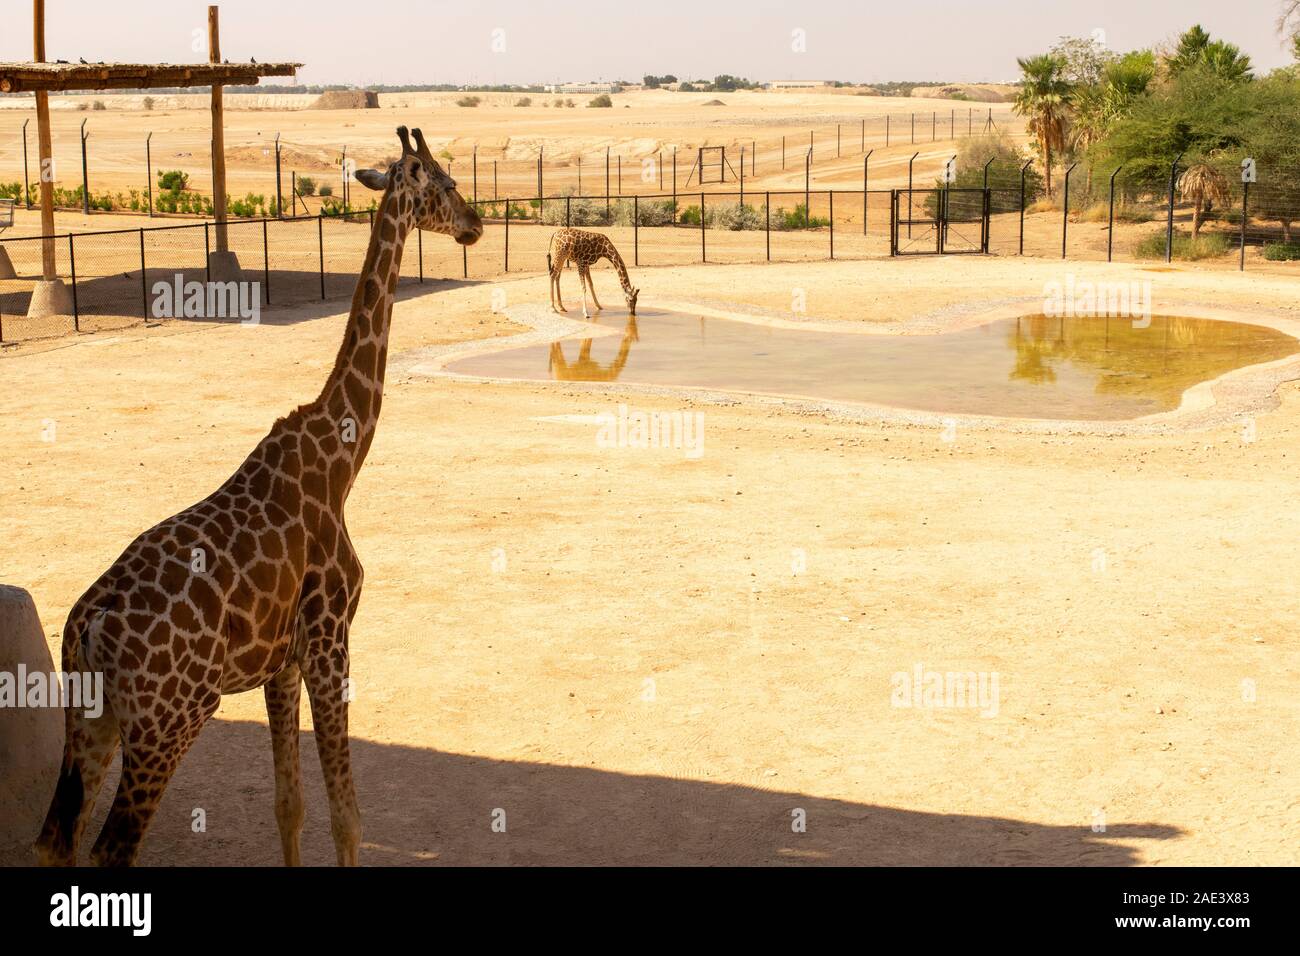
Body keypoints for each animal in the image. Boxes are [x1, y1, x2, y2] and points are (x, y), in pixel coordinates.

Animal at [33, 126, 481, 867]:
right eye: (444, 182)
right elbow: (346, 815)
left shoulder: (282, 662)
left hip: (89, 719)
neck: (341, 459)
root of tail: (87, 627)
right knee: (108, 851)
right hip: (169, 721)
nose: (474, 224)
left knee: (54, 842)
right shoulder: (330, 641)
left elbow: (289, 807)